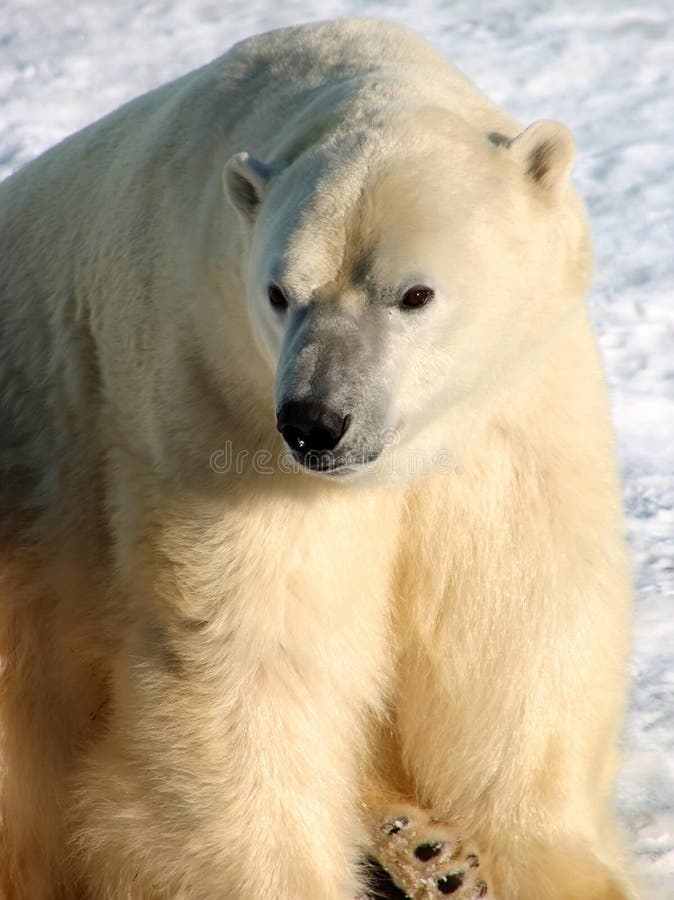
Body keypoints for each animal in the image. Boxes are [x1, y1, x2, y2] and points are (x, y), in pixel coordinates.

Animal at [0, 16, 635, 900]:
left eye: (414, 293)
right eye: (279, 293)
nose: (314, 422)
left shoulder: (512, 409)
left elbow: (515, 618)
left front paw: (549, 865)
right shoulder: (211, 407)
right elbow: (251, 661)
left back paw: (428, 852)